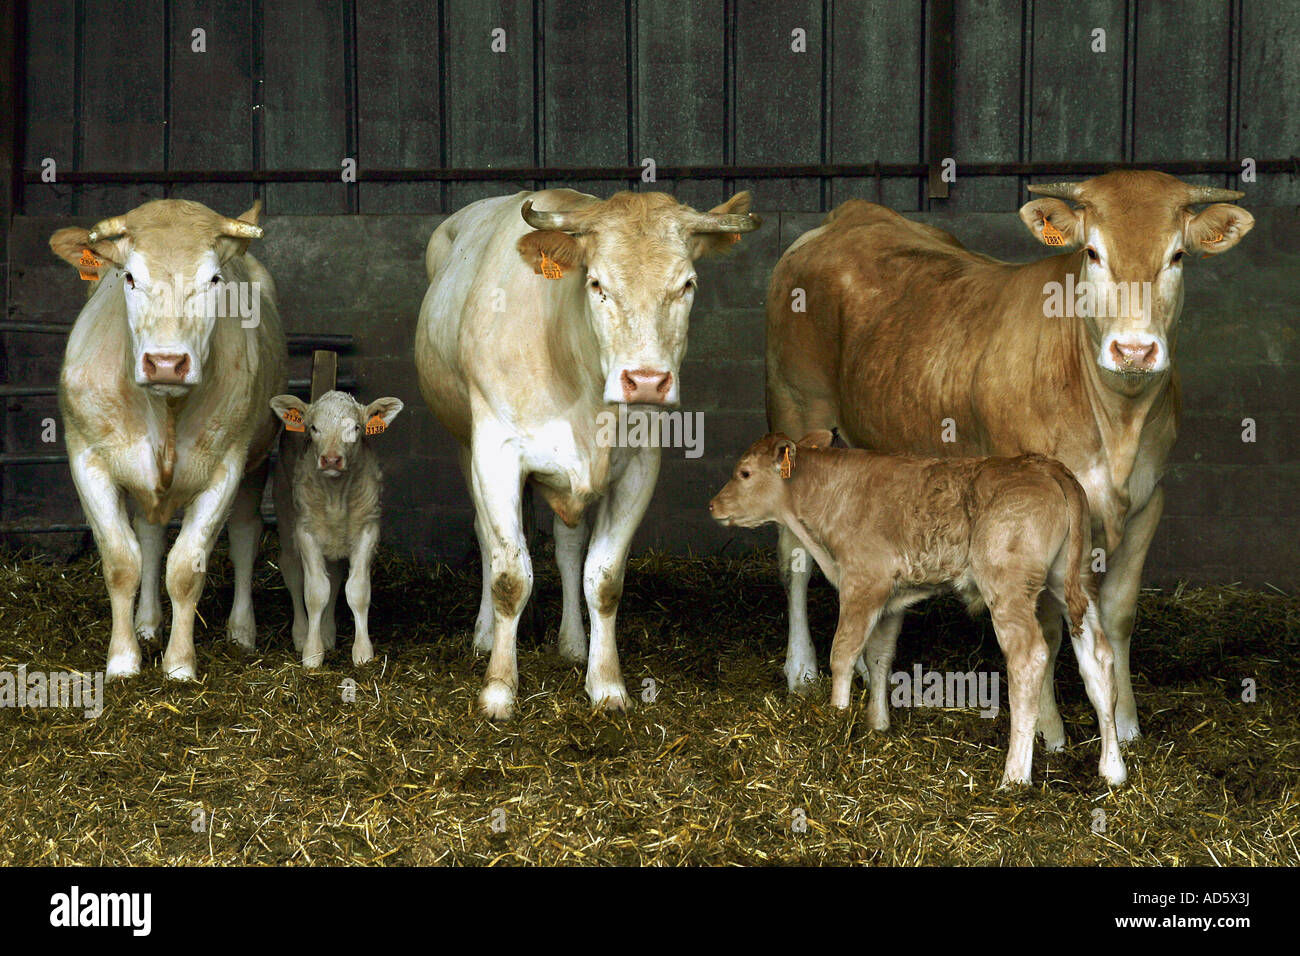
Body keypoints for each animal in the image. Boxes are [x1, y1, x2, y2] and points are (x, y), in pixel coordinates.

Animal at [49, 199, 287, 680]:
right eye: (129, 277)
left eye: (214, 279)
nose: (165, 363)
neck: (166, 411)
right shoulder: (87, 456)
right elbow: (123, 561)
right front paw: (123, 661)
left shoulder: (226, 466)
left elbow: (185, 568)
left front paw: (179, 666)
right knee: (150, 534)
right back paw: (146, 624)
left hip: (257, 460)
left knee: (245, 534)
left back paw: (241, 632)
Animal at [270, 389, 404, 668]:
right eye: (314, 427)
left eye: (355, 428)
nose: (331, 459)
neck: (336, 495)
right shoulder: (306, 531)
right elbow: (315, 591)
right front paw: (312, 653)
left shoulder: (368, 529)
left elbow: (357, 589)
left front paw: (362, 652)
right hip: (284, 506)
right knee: (292, 570)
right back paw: (301, 633)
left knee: (335, 573)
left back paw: (327, 632)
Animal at [416, 188, 761, 719]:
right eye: (596, 283)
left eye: (687, 284)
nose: (646, 381)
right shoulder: (494, 452)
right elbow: (510, 575)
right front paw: (498, 691)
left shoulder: (640, 465)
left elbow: (603, 579)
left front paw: (607, 685)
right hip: (462, 441)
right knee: (487, 537)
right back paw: (484, 636)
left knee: (567, 545)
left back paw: (572, 644)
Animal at [709, 431, 1127, 787]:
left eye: (744, 473)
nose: (713, 505)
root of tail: (1044, 465)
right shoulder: (892, 598)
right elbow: (879, 656)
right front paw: (877, 726)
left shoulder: (863, 582)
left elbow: (843, 653)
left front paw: (837, 719)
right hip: (1075, 578)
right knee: (1098, 657)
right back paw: (1112, 769)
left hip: (1009, 588)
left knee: (1028, 658)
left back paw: (1014, 776)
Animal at [765, 170, 1254, 746]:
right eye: (1092, 252)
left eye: (1177, 255)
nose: (1134, 350)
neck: (1118, 423)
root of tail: (850, 215)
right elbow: (1044, 628)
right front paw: (1052, 733)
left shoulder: (1148, 500)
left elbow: (1118, 614)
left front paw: (1128, 726)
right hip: (794, 409)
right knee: (795, 555)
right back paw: (800, 669)